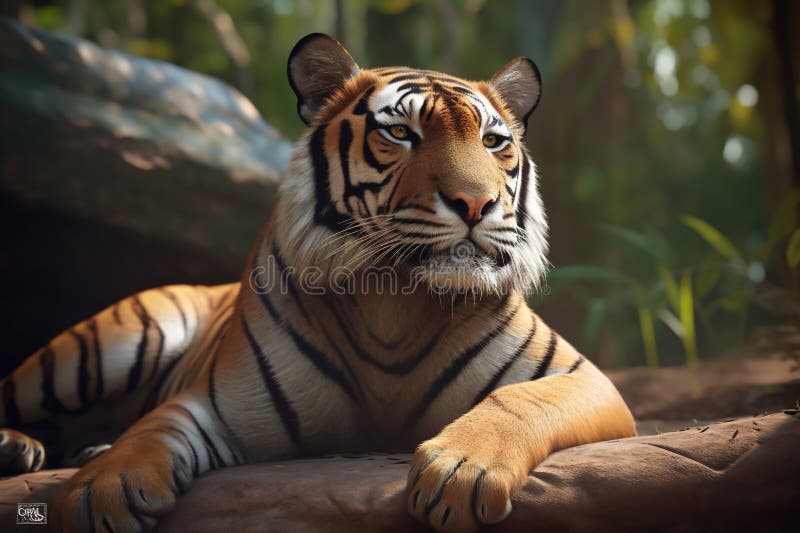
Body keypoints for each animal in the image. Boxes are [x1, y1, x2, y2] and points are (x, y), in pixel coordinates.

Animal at [0, 33, 635, 532]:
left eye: (493, 142)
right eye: (402, 133)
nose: (476, 204)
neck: (396, 298)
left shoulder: (582, 379)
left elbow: (516, 401)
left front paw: (462, 470)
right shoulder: (216, 405)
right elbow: (147, 434)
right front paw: (97, 493)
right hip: (110, 345)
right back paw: (22, 446)